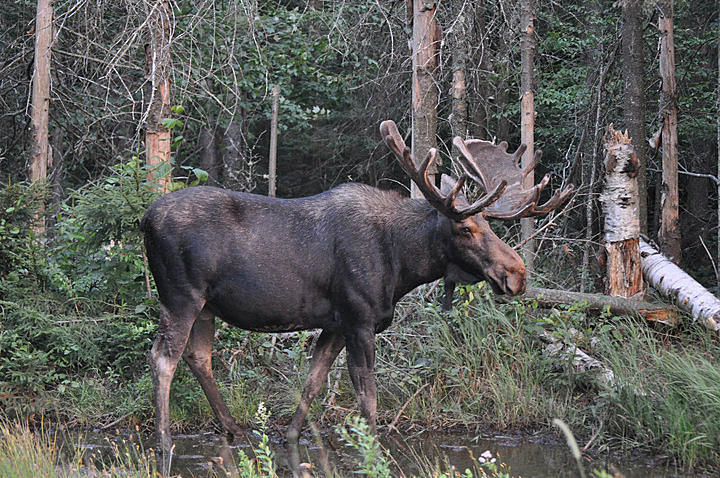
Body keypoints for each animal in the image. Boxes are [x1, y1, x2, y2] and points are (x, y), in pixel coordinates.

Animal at [140, 119, 573, 465]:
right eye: (466, 228)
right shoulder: (360, 318)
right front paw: (374, 453)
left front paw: (289, 437)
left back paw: (234, 430)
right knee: (163, 357)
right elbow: (368, 402)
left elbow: (313, 381)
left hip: (207, 306)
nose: (517, 274)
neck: (402, 265)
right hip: (181, 296)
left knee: (199, 357)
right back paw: (164, 443)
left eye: (490, 226)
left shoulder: (335, 323)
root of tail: (144, 219)